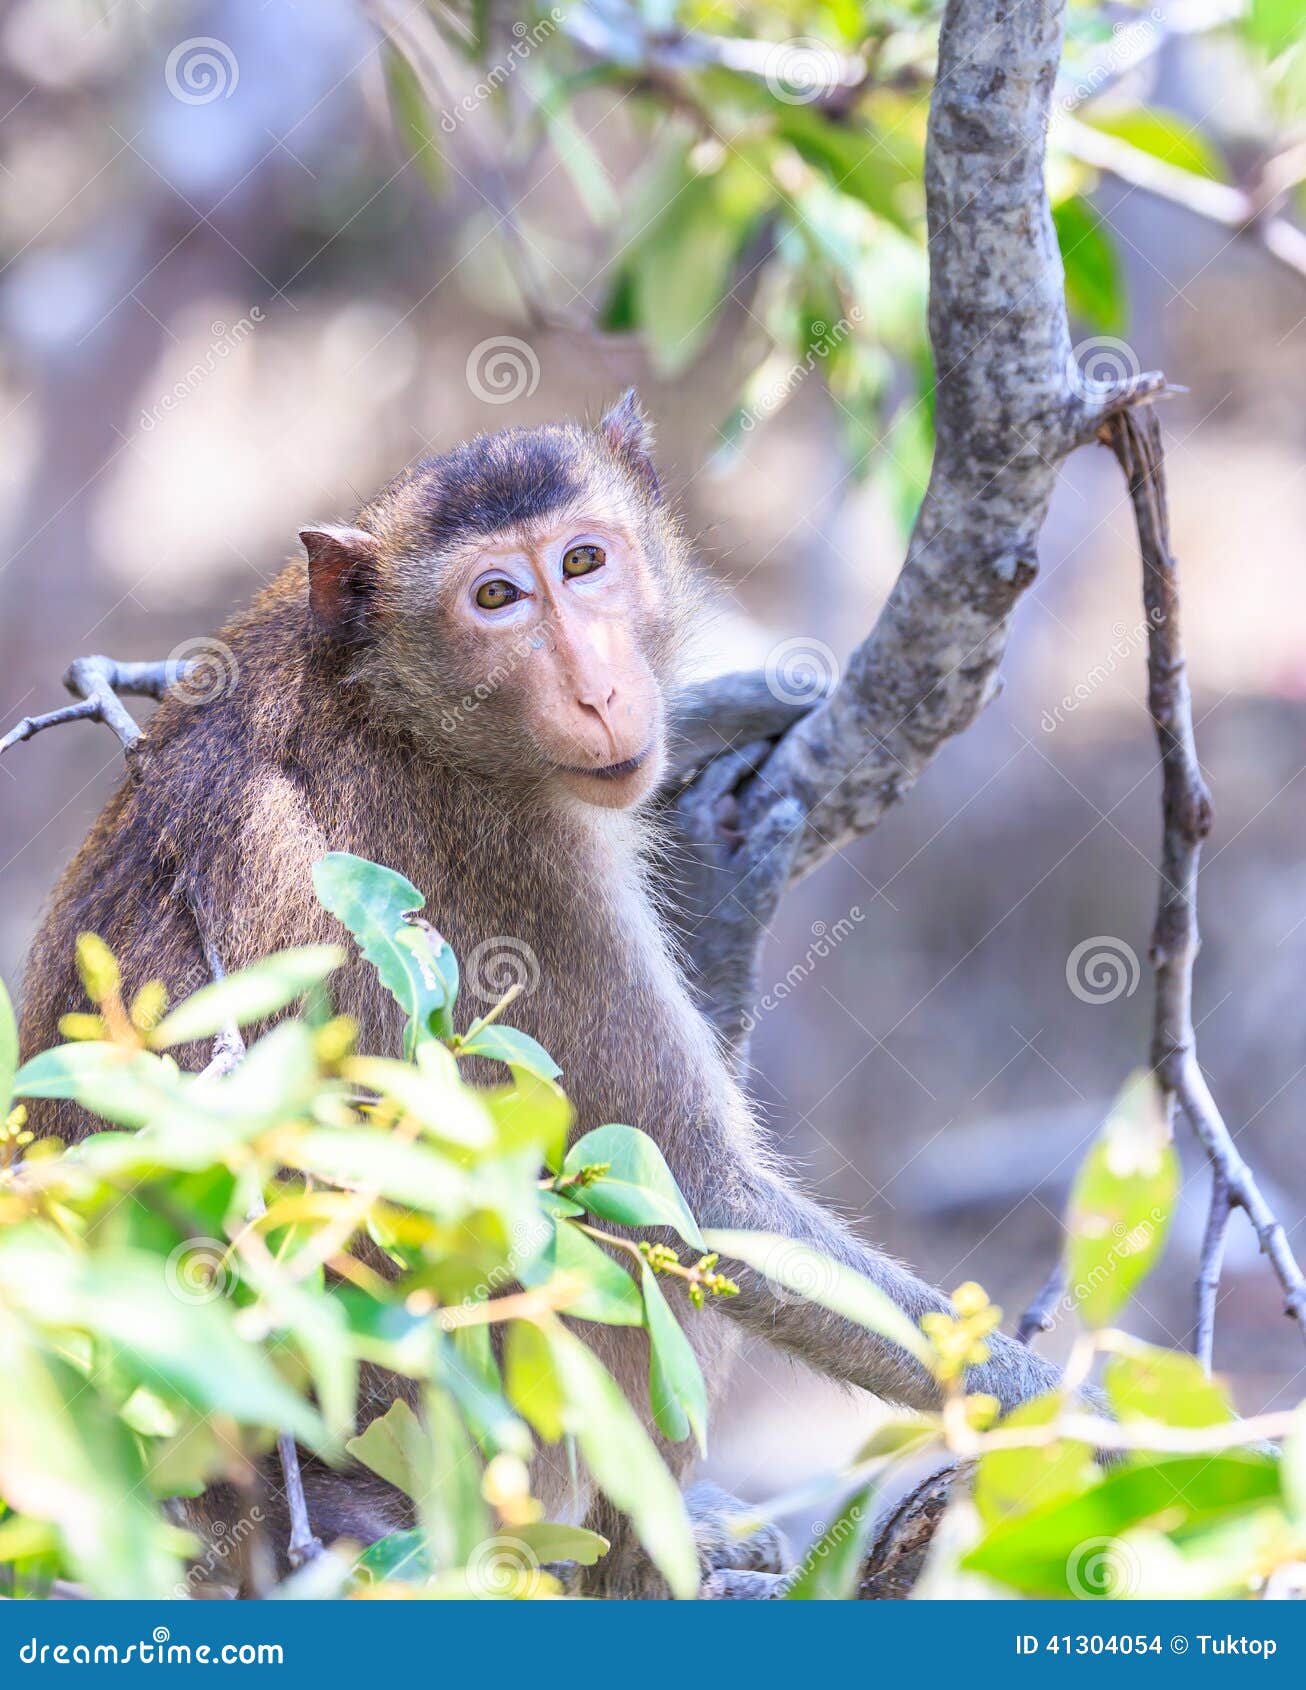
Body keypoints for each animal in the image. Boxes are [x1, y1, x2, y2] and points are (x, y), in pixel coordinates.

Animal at [19, 391, 1068, 1597]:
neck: (397, 699)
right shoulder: (518, 867)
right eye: (496, 599)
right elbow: (691, 1193)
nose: (597, 689)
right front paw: (1107, 1419)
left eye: (581, 562)